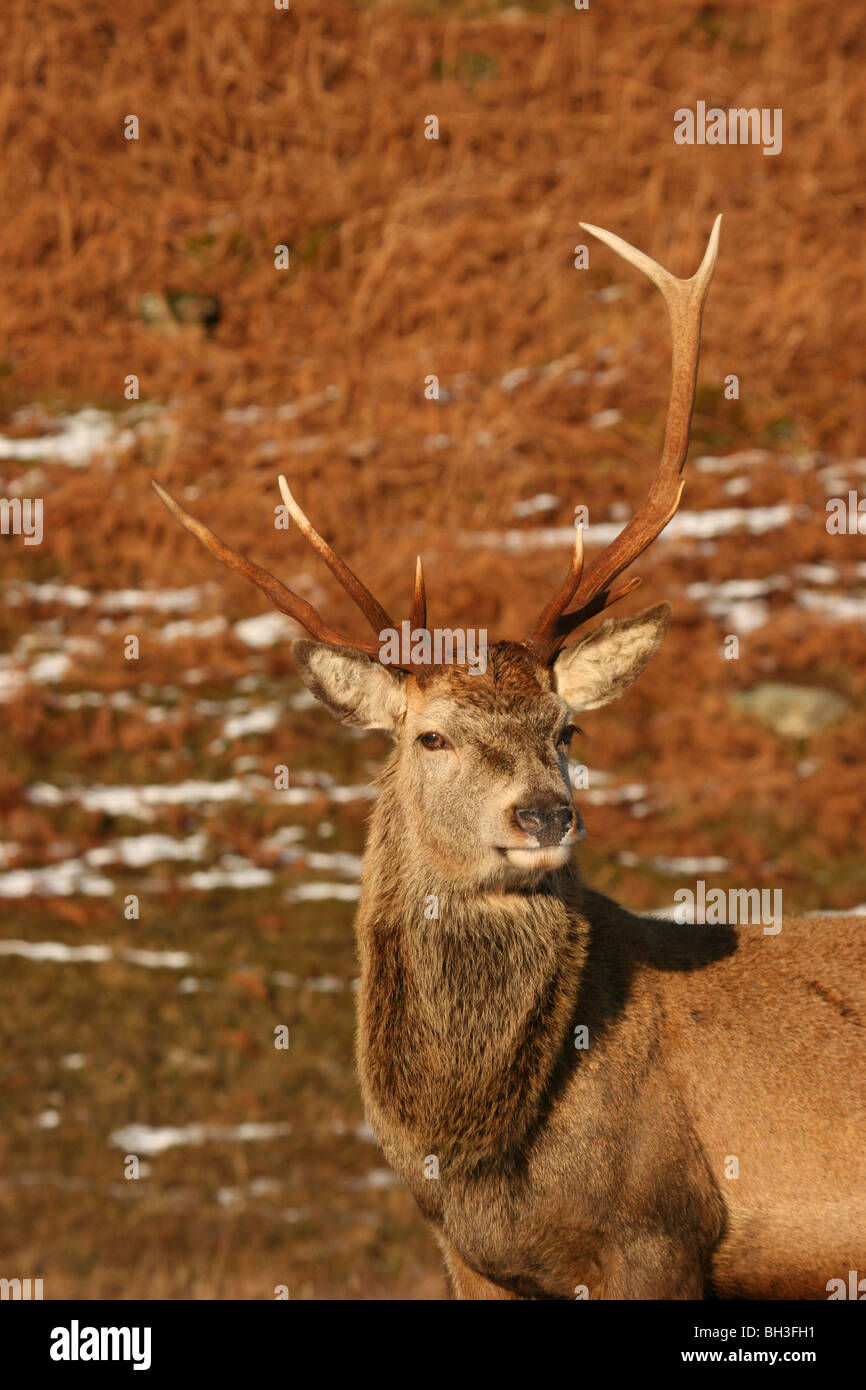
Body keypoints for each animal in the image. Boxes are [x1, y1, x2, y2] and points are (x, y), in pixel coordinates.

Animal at [153, 218, 865, 1300]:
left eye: (565, 728)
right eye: (430, 735)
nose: (545, 813)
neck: (477, 1158)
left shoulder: (661, 1229)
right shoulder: (468, 1256)